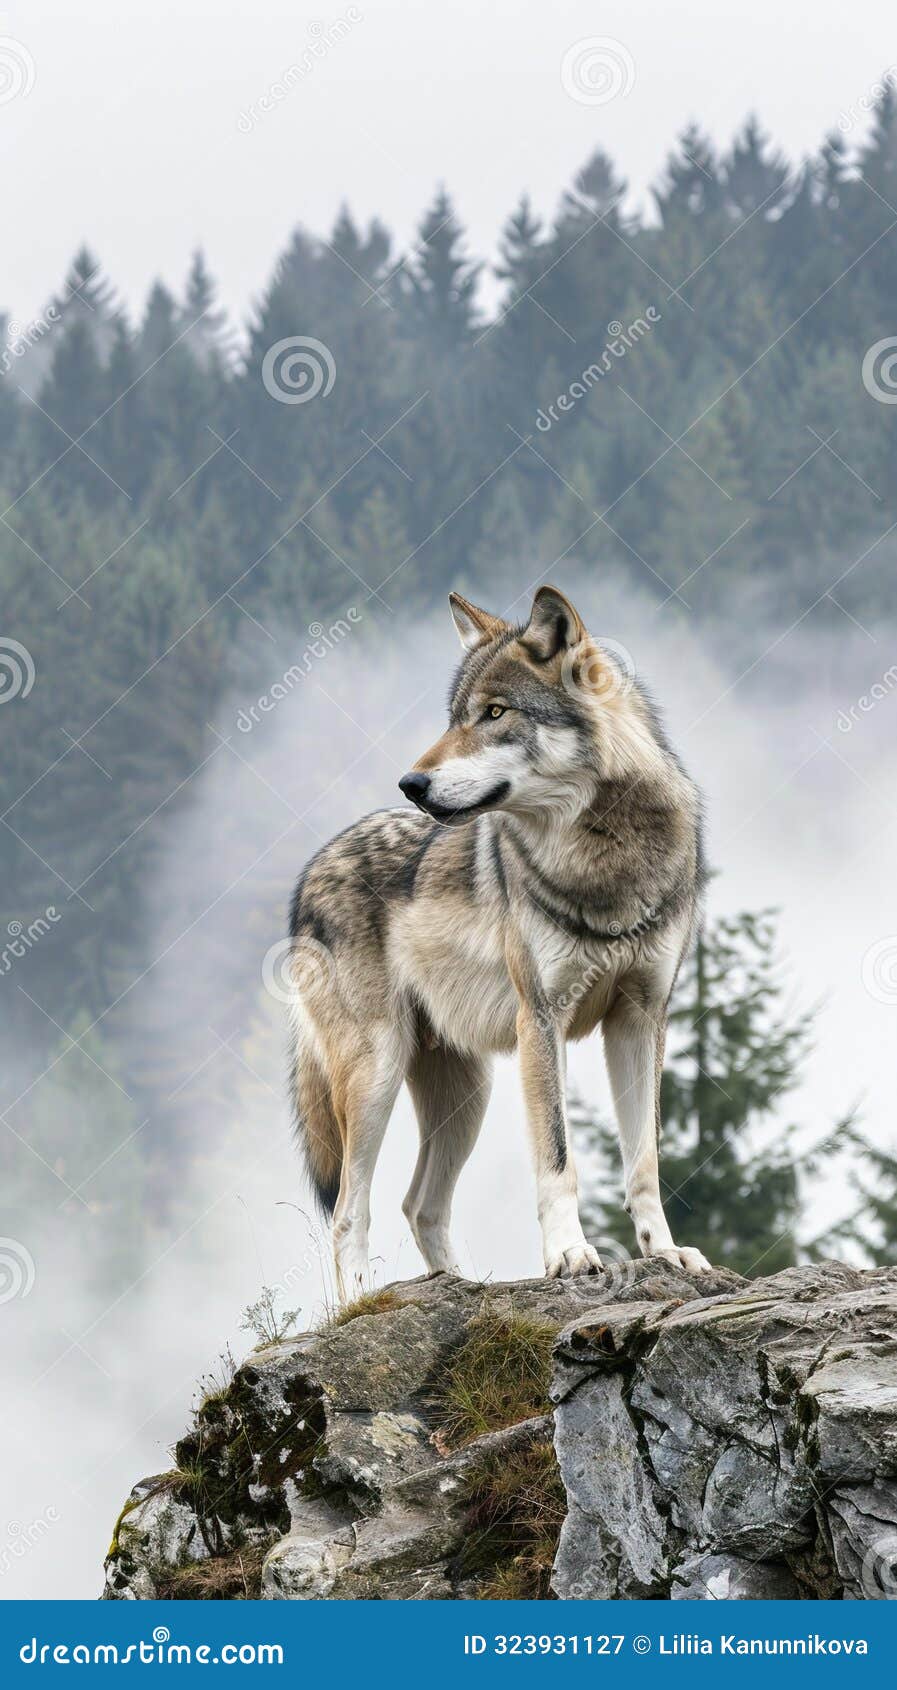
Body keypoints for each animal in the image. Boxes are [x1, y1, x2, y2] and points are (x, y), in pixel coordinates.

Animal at [287, 585, 712, 1299]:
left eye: (493, 713)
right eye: (454, 718)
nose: (411, 784)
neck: (604, 855)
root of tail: (309, 874)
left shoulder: (641, 1018)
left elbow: (644, 1162)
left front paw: (667, 1253)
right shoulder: (541, 1020)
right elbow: (559, 1158)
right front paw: (570, 1256)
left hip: (467, 1095)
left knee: (418, 1204)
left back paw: (460, 1287)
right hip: (377, 1075)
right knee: (350, 1209)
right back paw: (363, 1305)